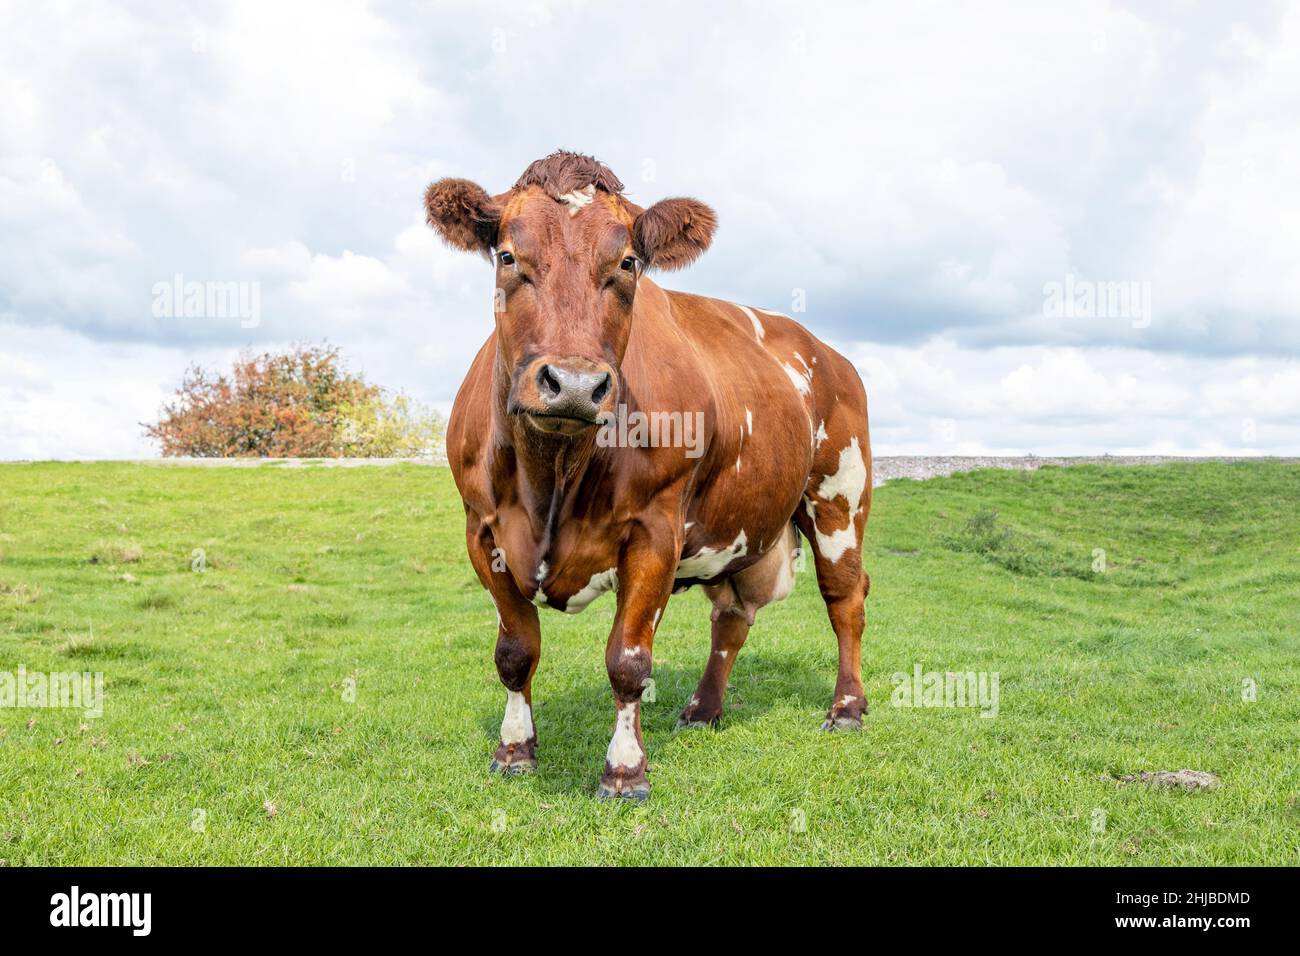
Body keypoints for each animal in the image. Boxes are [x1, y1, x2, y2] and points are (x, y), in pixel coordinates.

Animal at [426, 151, 872, 800]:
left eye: (628, 263)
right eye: (507, 256)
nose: (575, 383)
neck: (552, 477)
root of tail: (826, 353)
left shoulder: (656, 531)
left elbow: (629, 659)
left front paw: (625, 769)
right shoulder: (482, 533)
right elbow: (514, 651)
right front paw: (513, 751)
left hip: (840, 495)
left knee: (845, 601)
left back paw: (846, 708)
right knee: (731, 616)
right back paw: (704, 710)